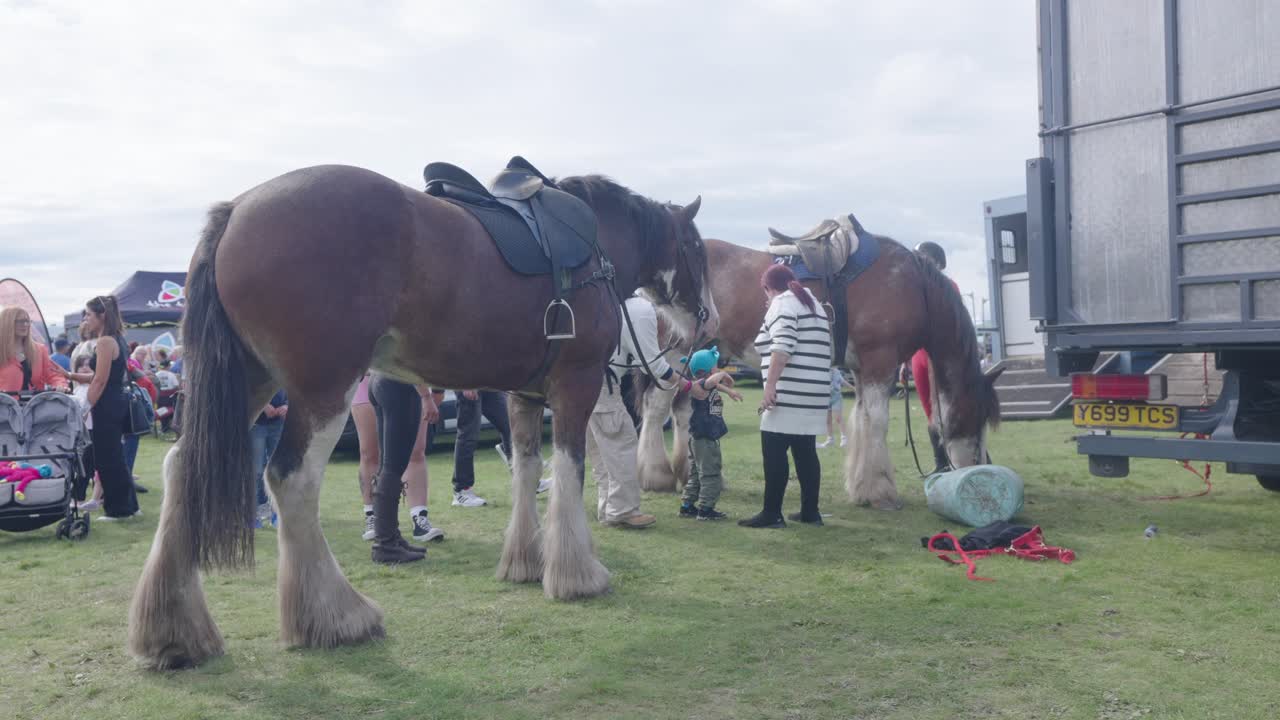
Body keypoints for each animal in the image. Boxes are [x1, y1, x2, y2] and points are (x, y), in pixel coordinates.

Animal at [126, 164, 718, 670]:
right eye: (696, 248)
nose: (708, 319)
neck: (591, 245)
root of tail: (237, 211)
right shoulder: (575, 384)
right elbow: (570, 472)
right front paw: (576, 574)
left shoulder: (526, 396)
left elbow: (527, 470)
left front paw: (525, 563)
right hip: (322, 388)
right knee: (291, 479)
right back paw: (337, 617)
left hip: (248, 381)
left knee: (183, 468)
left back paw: (174, 633)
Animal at [635, 233, 999, 509]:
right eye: (978, 415)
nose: (979, 466)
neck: (911, 287)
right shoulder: (880, 361)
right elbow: (877, 423)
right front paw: (880, 490)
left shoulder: (863, 369)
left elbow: (862, 420)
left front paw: (861, 486)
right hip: (676, 352)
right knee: (656, 406)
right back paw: (656, 474)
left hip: (700, 355)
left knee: (685, 409)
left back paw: (691, 474)